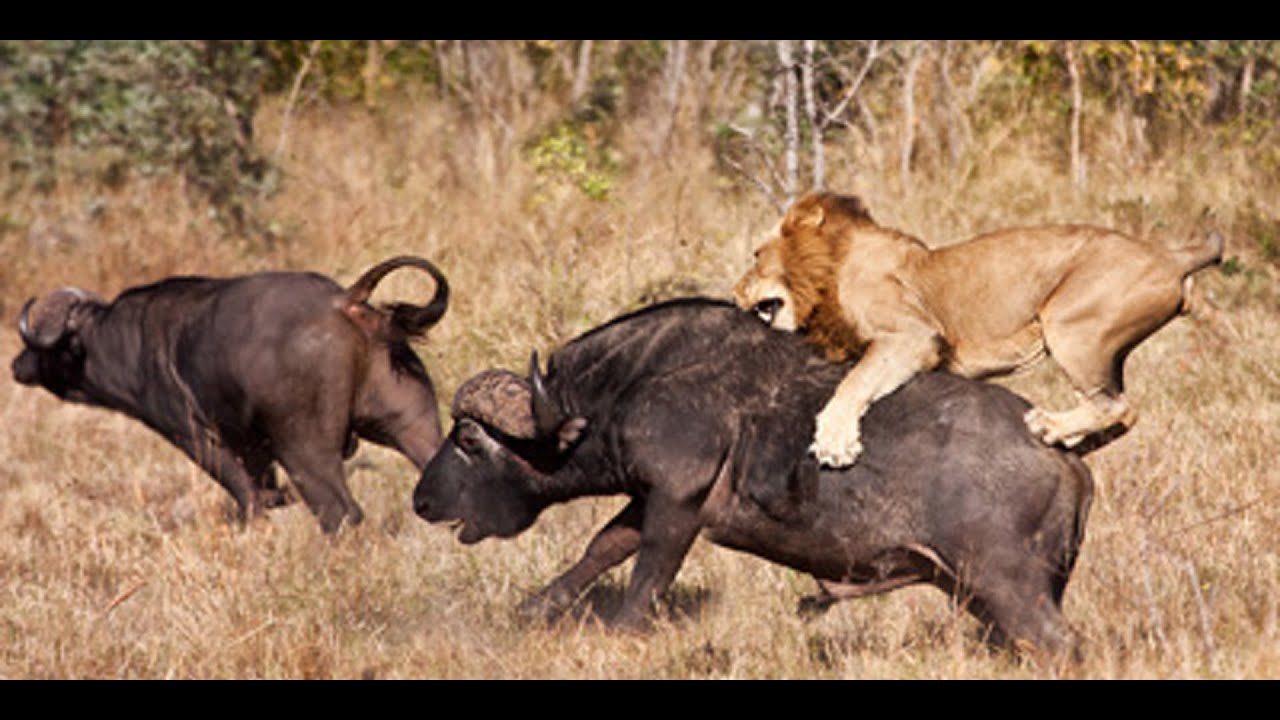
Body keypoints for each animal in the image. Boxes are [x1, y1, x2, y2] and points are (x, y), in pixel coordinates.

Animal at [734, 191, 1224, 467]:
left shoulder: (913, 335)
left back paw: (1049, 425)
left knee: (1117, 406)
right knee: (1123, 411)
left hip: (1070, 327)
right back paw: (1065, 438)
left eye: (756, 255)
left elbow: (854, 382)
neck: (829, 269)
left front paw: (834, 442)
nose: (735, 291)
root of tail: (1170, 255)